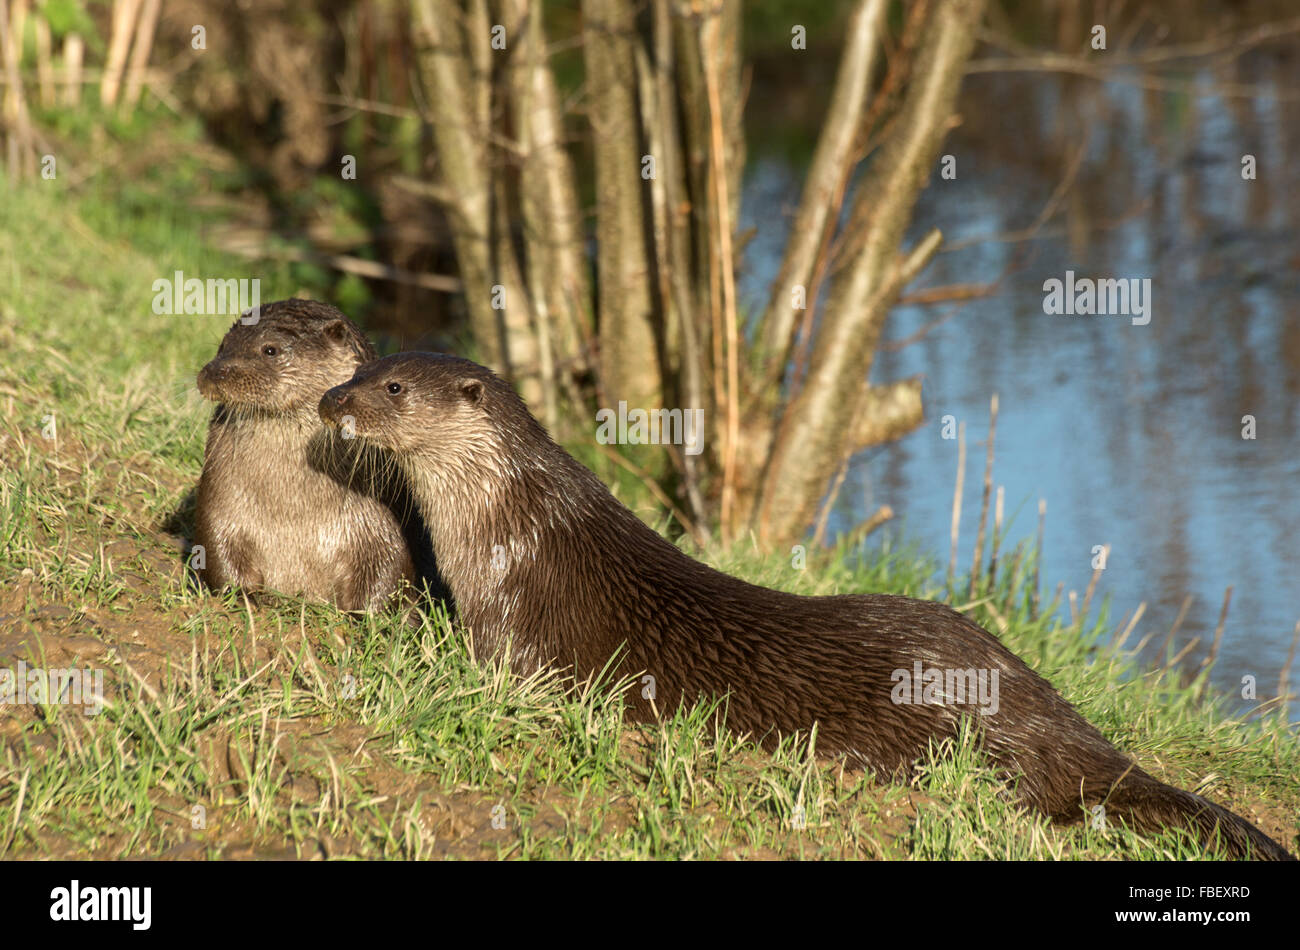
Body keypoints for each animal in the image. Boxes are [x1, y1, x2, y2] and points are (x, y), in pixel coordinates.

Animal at [194, 299, 435, 611]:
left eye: (270, 349)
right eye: (223, 345)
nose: (215, 373)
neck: (293, 510)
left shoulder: (380, 513)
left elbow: (389, 566)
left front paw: (367, 615)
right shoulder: (222, 497)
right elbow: (216, 545)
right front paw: (244, 595)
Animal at [318, 352, 1294, 860]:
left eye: (392, 388)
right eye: (363, 365)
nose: (332, 399)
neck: (513, 524)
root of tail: (1043, 707)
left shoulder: (519, 624)